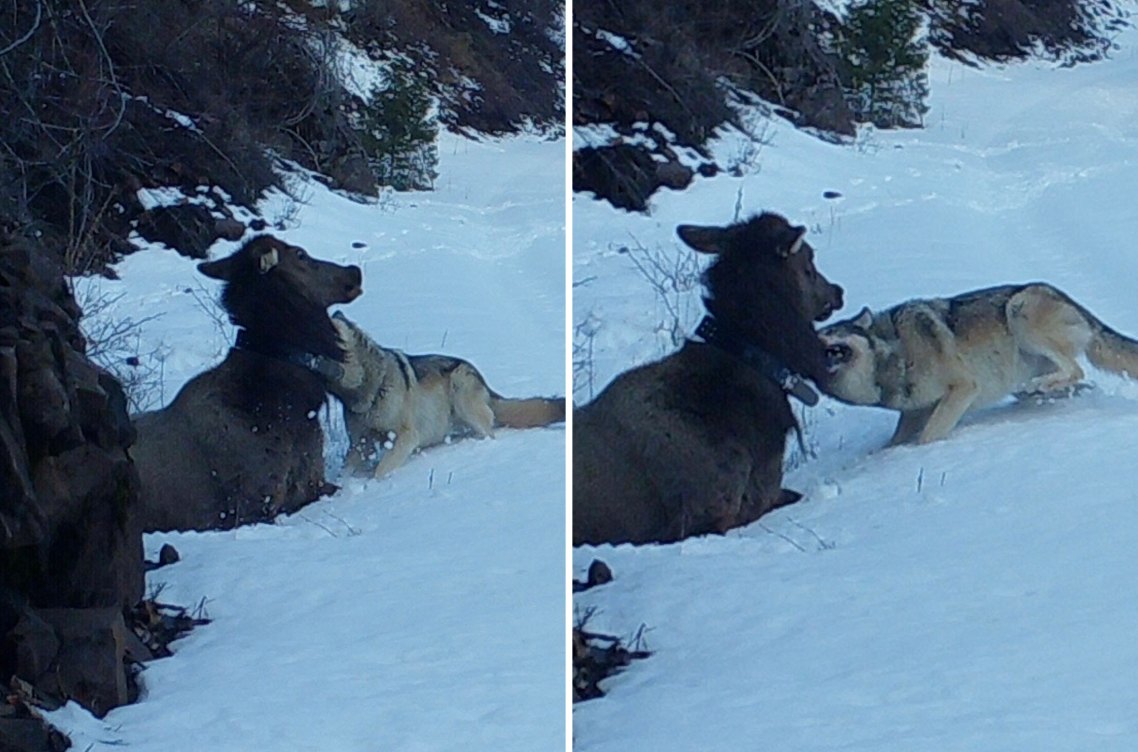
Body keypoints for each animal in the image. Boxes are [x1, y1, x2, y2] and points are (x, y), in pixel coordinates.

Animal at [321, 312, 566, 477]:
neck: (370, 388)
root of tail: (485, 385)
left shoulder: (406, 436)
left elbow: (380, 471)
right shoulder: (359, 444)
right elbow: (347, 472)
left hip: (461, 388)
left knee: (489, 433)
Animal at [819, 282, 1138, 446]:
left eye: (832, 333)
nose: (811, 343)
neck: (892, 355)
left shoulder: (964, 387)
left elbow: (927, 438)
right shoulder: (912, 411)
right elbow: (893, 443)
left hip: (1018, 310)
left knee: (1075, 369)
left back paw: (1039, 386)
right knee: (1078, 381)